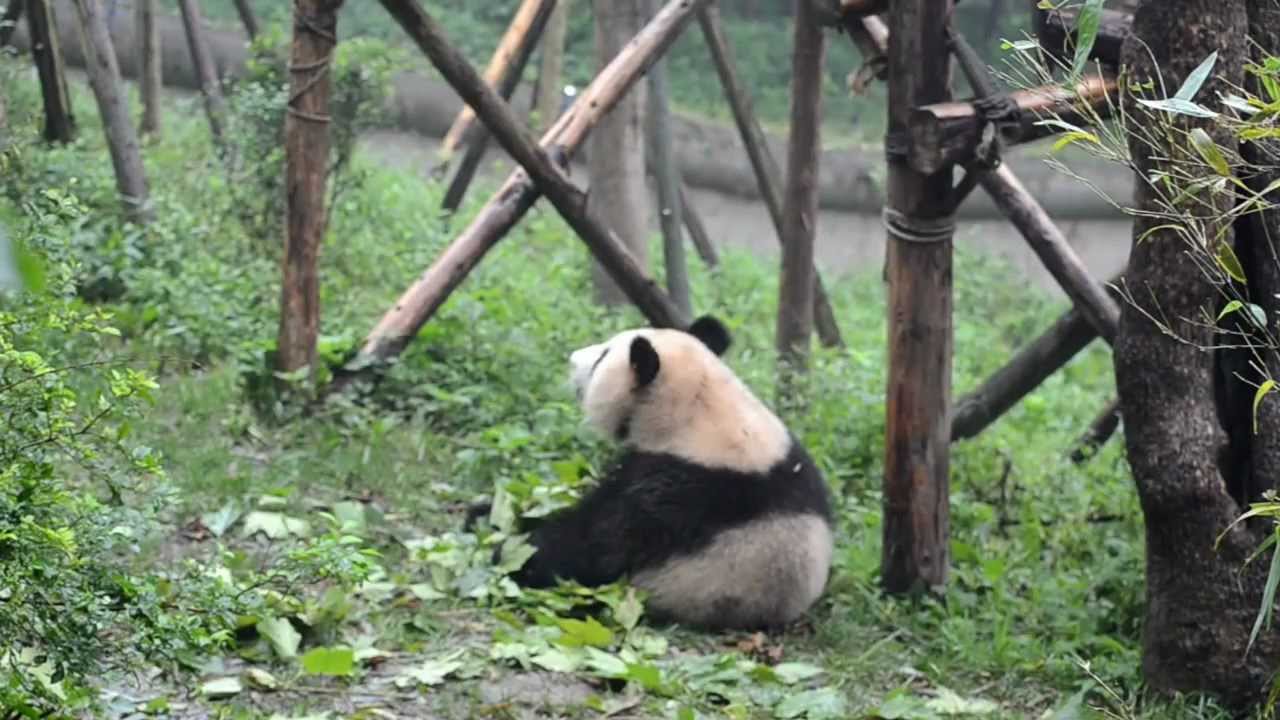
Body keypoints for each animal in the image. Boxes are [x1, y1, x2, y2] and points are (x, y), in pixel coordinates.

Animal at [472, 315, 835, 631]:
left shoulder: (671, 486)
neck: (700, 407)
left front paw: (513, 548)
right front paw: (492, 510)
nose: (573, 359)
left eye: (602, 357)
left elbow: (596, 542)